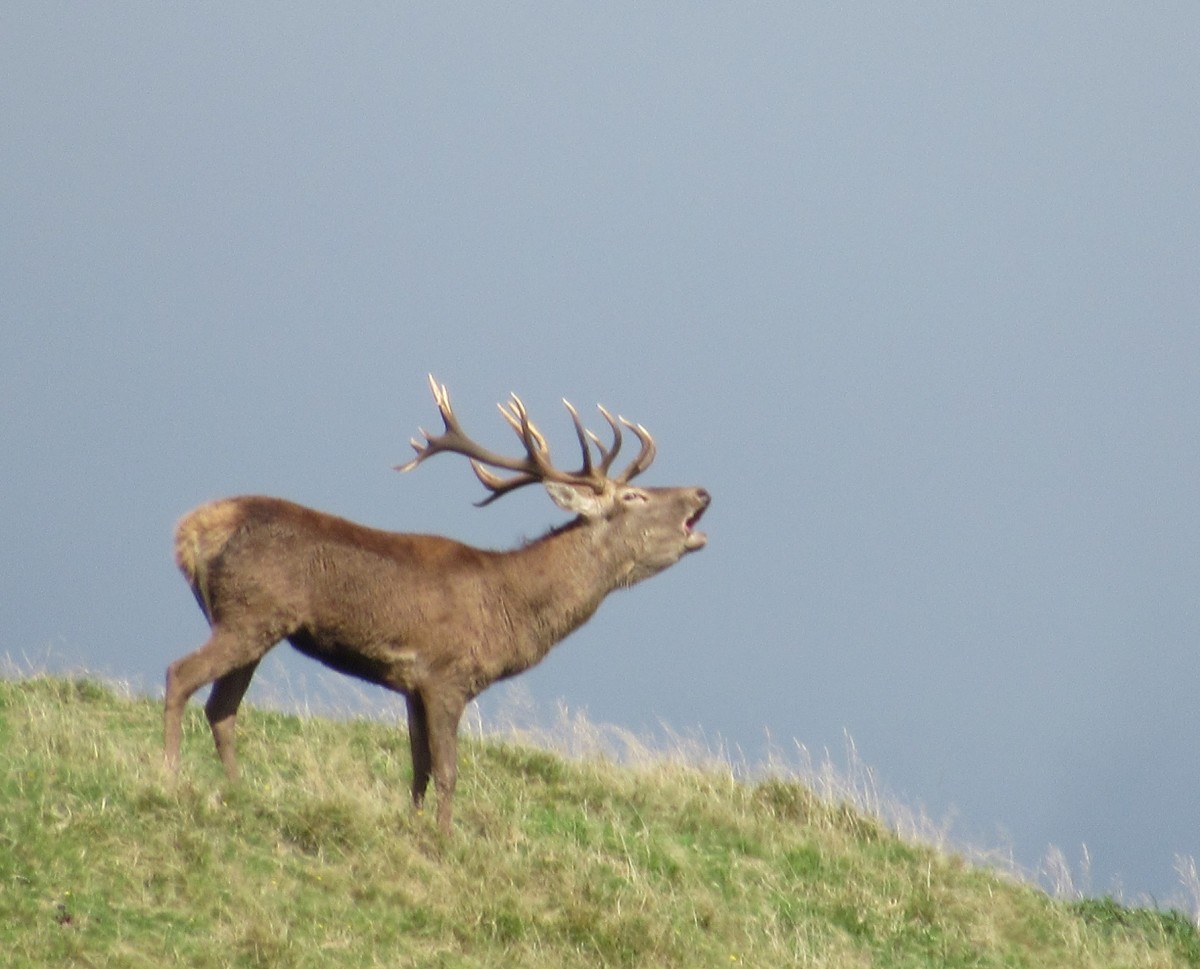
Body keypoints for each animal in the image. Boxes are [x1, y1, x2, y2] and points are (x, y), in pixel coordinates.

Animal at [163, 375, 710, 833]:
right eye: (635, 497)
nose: (702, 491)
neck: (509, 607)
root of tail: (190, 531)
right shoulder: (447, 674)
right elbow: (448, 769)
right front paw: (446, 838)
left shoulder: (413, 684)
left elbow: (419, 767)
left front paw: (415, 826)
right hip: (249, 612)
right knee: (180, 674)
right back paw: (170, 776)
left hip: (255, 624)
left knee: (222, 708)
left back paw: (239, 790)